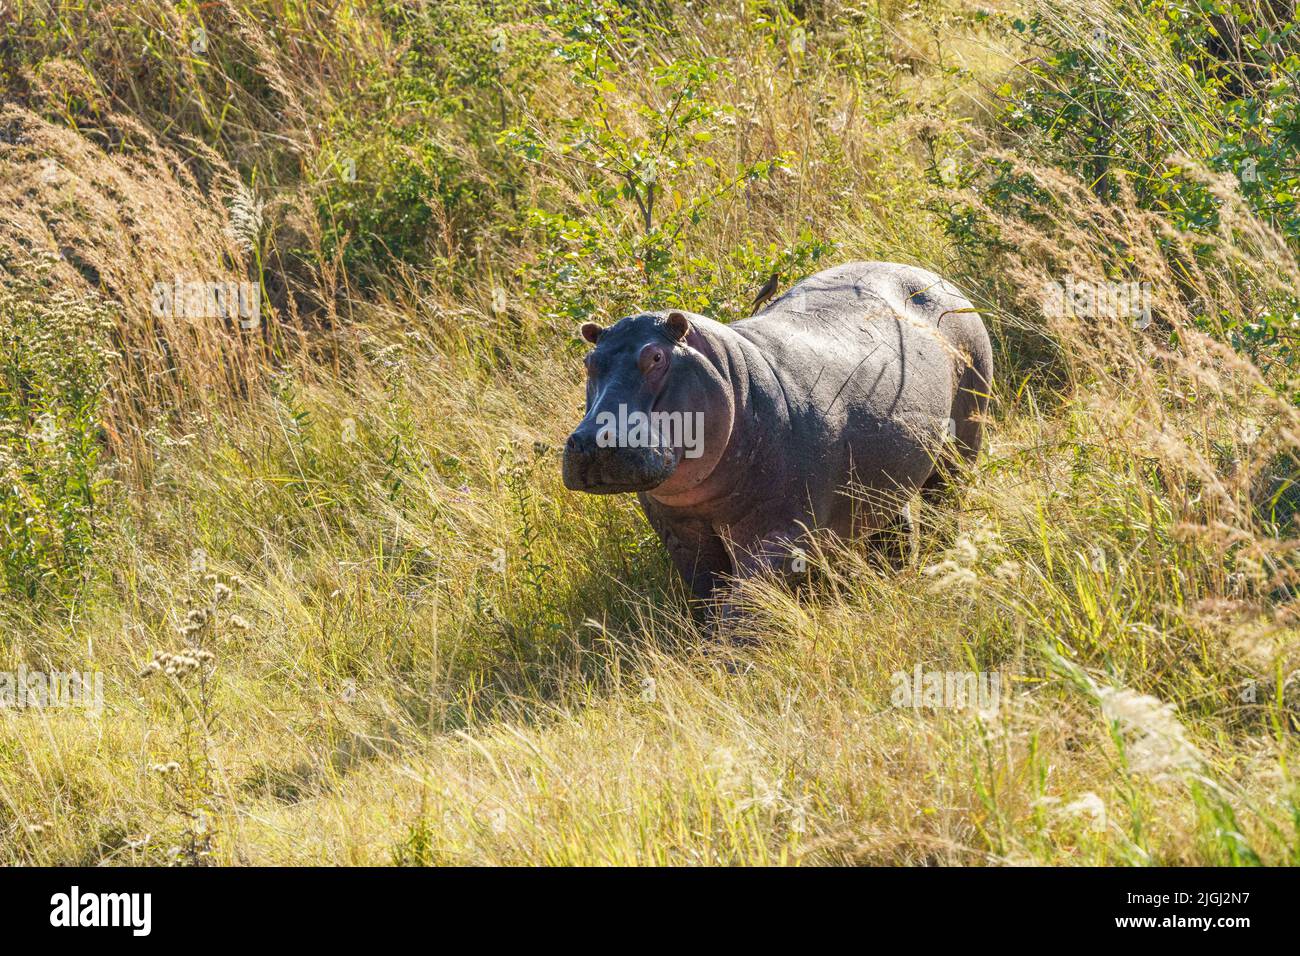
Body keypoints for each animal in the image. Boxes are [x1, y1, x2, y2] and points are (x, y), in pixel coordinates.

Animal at [562, 261, 992, 608]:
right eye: (588, 360)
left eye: (656, 357)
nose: (591, 442)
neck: (732, 378)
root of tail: (932, 274)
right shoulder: (681, 534)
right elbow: (707, 593)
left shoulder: (778, 533)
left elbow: (746, 601)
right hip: (888, 470)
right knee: (893, 525)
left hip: (962, 439)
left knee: (945, 502)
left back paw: (944, 562)